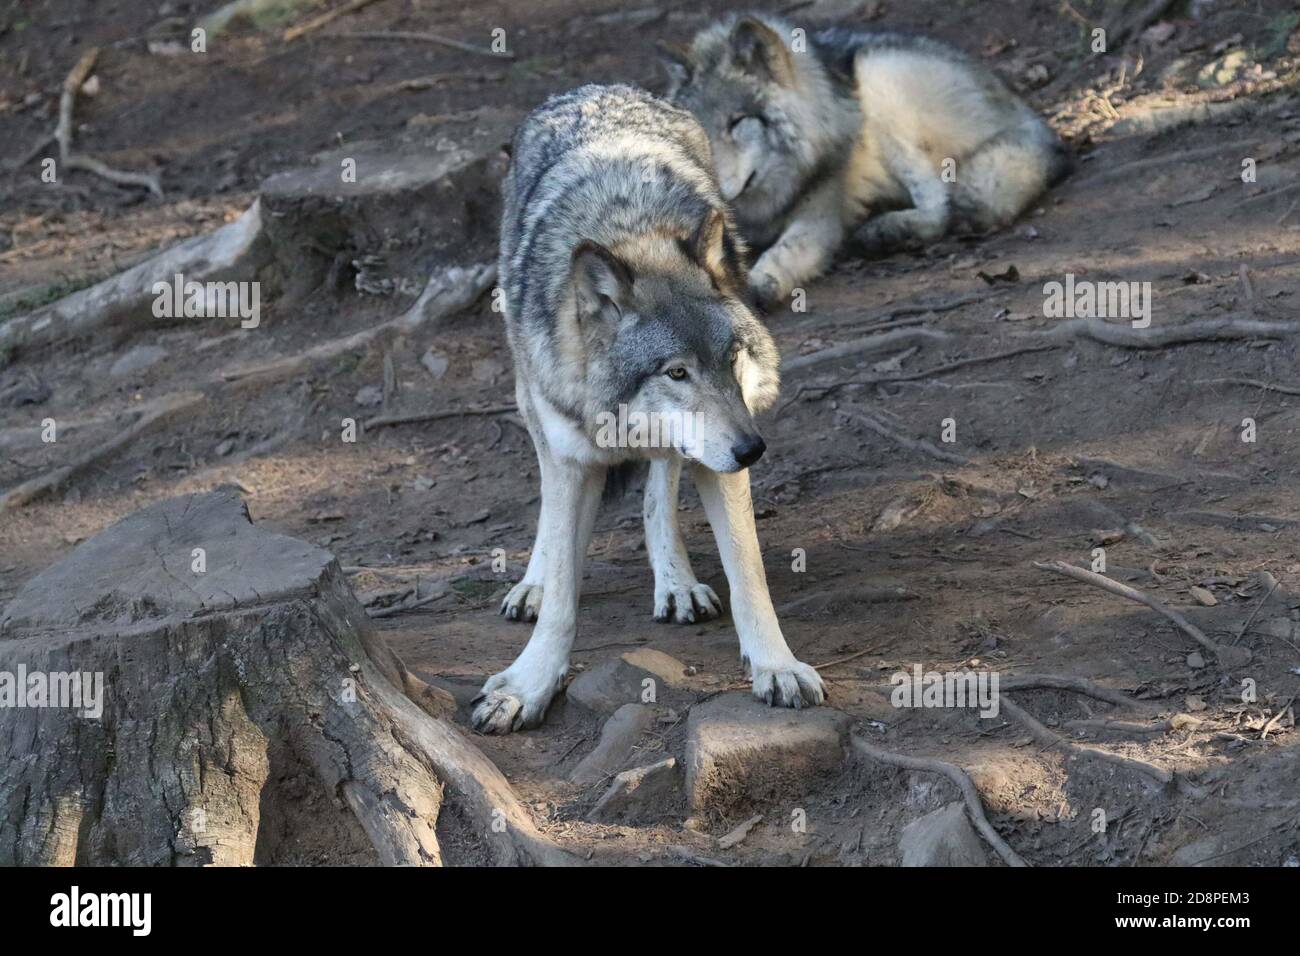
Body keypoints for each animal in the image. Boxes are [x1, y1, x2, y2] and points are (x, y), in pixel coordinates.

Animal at [476, 84, 825, 734]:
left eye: (731, 358)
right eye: (676, 372)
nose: (753, 449)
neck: (631, 231)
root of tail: (596, 89)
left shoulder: (722, 456)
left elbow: (749, 577)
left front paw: (776, 667)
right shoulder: (572, 456)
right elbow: (562, 591)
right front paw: (529, 684)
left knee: (660, 482)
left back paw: (676, 581)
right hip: (530, 399)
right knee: (548, 499)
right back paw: (532, 582)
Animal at [661, 13, 1071, 306]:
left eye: (739, 121)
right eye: (702, 127)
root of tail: (1029, 116)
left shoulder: (819, 219)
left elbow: (785, 249)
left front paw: (761, 282)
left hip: (880, 77)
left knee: (941, 207)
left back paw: (885, 232)